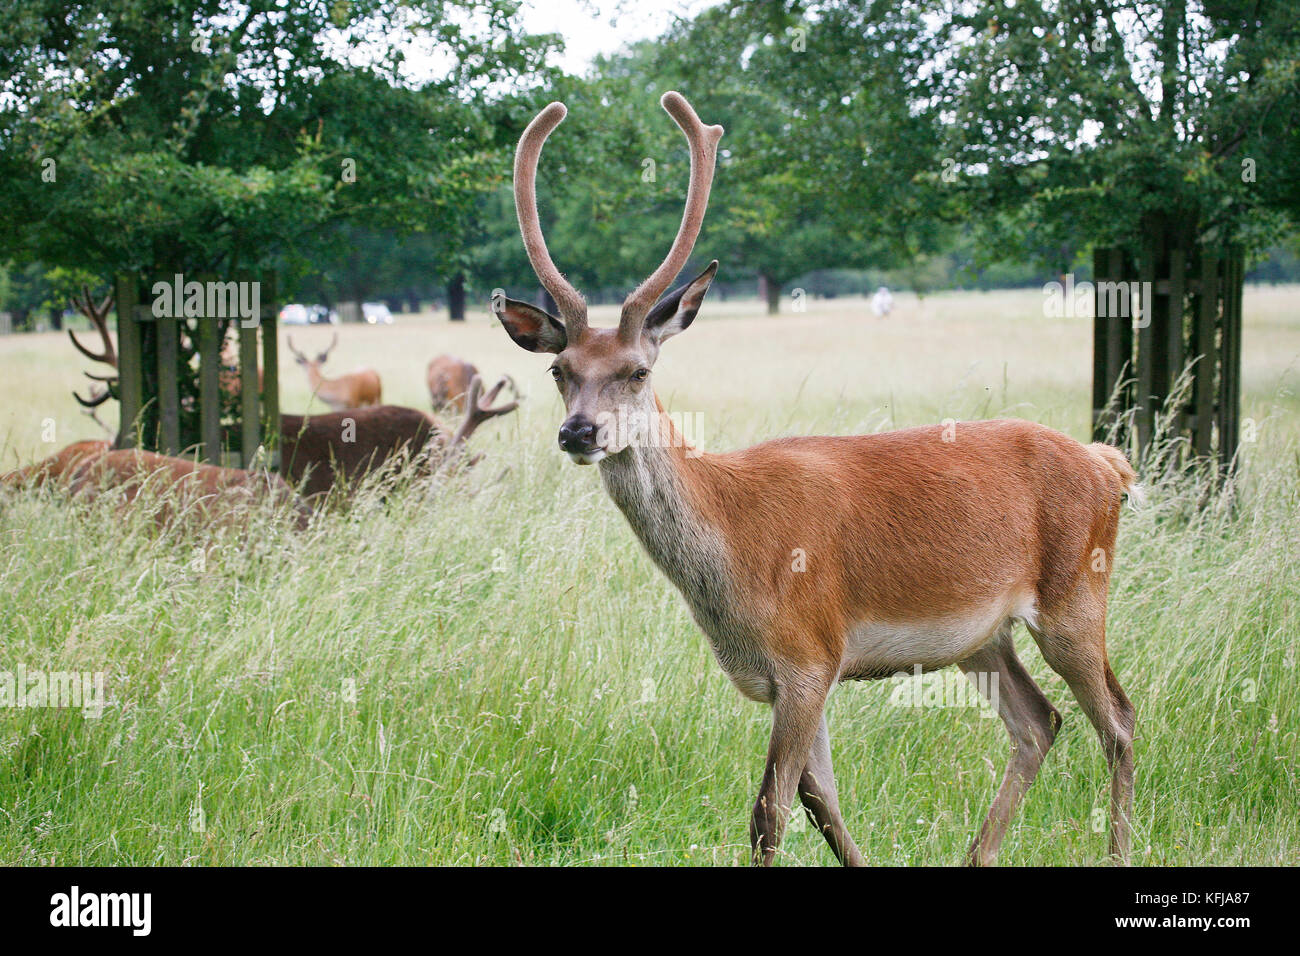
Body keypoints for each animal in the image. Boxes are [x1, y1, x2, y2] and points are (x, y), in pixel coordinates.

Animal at [490, 92, 1139, 867]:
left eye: (638, 371)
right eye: (559, 371)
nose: (579, 432)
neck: (732, 559)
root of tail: (1108, 463)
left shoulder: (808, 653)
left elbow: (769, 811)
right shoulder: (789, 677)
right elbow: (819, 798)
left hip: (1076, 594)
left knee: (1120, 718)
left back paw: (1117, 850)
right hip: (982, 635)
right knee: (1040, 720)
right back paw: (979, 854)